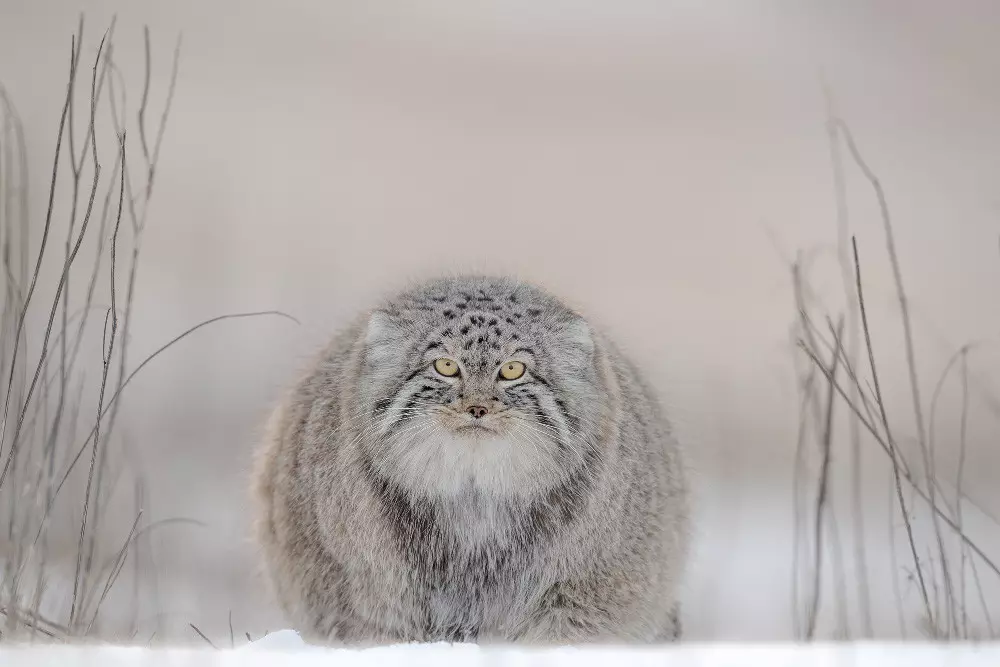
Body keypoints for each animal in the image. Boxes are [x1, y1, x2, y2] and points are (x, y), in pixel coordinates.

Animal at [250, 274, 688, 644]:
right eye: (446, 366)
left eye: (513, 369)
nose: (477, 408)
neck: (474, 498)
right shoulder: (366, 592)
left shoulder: (584, 589)